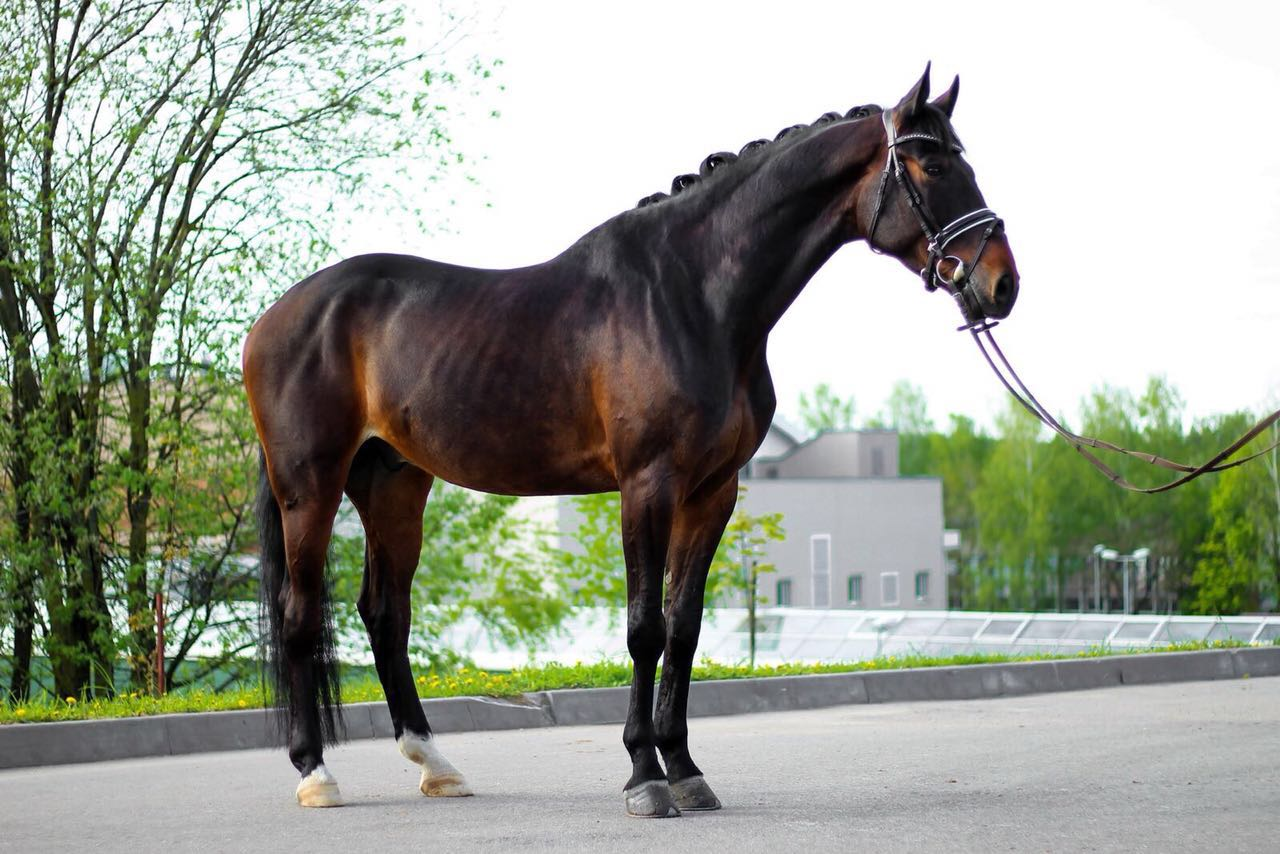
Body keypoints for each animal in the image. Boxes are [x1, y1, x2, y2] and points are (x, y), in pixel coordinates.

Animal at [240, 65, 1018, 814]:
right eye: (931, 165)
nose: (1002, 284)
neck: (693, 297)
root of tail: (276, 315)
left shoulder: (713, 492)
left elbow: (685, 627)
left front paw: (687, 771)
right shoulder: (649, 482)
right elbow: (644, 628)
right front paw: (645, 775)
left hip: (394, 482)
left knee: (385, 614)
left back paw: (436, 764)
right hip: (310, 486)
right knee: (299, 615)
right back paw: (316, 774)